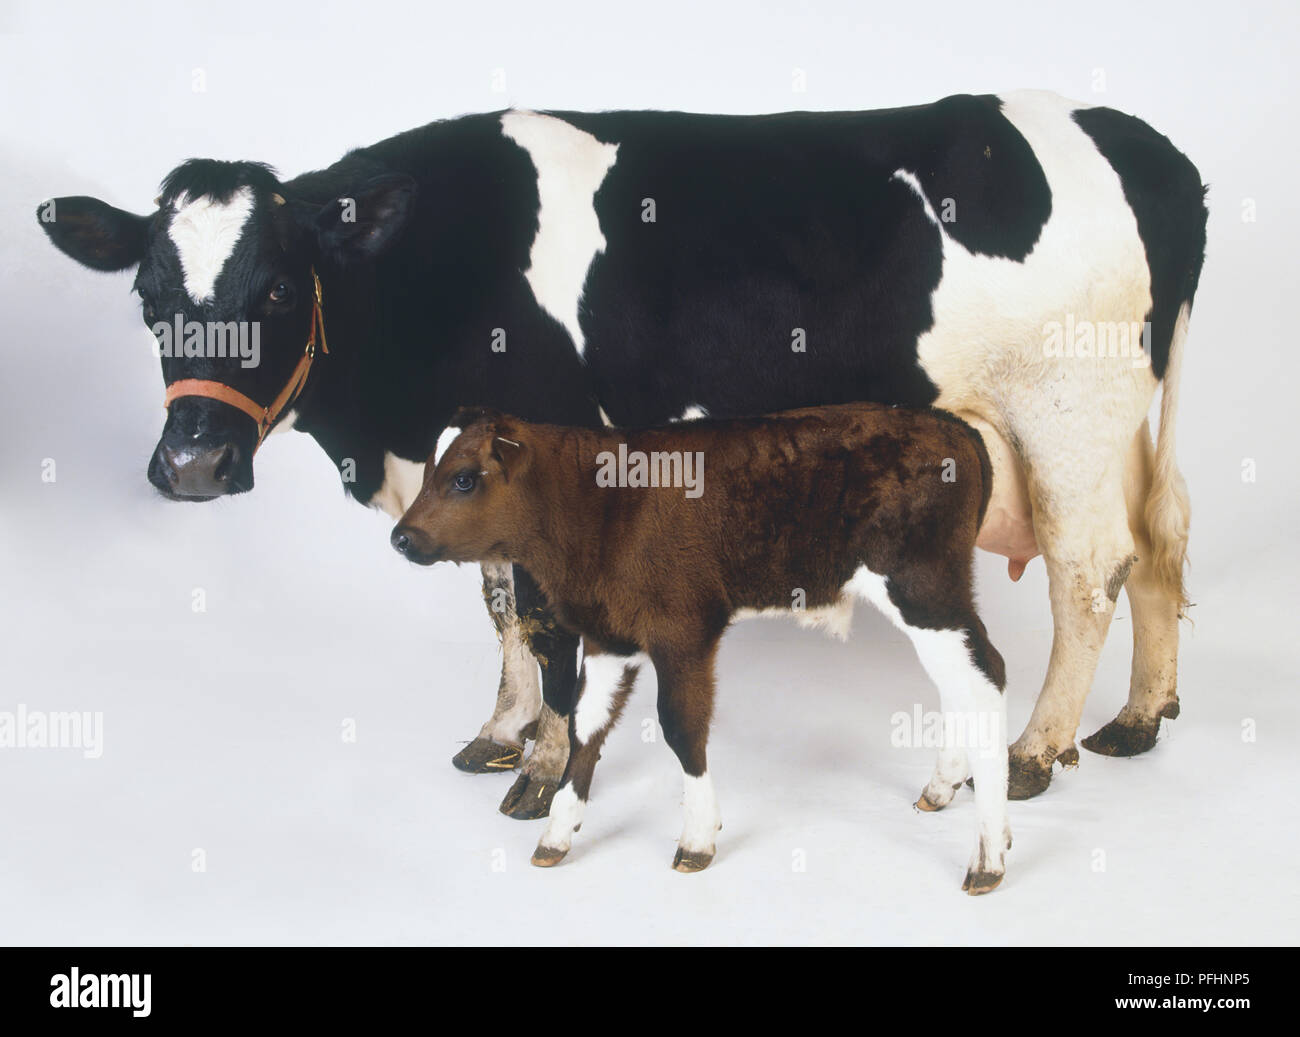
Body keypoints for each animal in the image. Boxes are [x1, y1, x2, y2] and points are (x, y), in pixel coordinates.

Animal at [36, 89, 1207, 814]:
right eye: (147, 296)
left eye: (278, 289)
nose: (192, 463)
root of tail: (1145, 145)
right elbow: (498, 600)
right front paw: (503, 730)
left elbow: (537, 611)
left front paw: (543, 770)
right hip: (1124, 422)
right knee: (1161, 537)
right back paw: (1138, 718)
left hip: (1065, 413)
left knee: (1087, 568)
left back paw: (1033, 749)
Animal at [391, 404, 1012, 892]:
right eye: (425, 474)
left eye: (464, 479)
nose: (400, 537)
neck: (601, 509)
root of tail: (949, 424)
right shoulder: (609, 635)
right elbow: (585, 729)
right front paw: (557, 835)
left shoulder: (683, 629)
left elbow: (681, 726)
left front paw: (696, 837)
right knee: (967, 684)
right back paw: (947, 791)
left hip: (923, 588)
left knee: (986, 683)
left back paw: (988, 856)